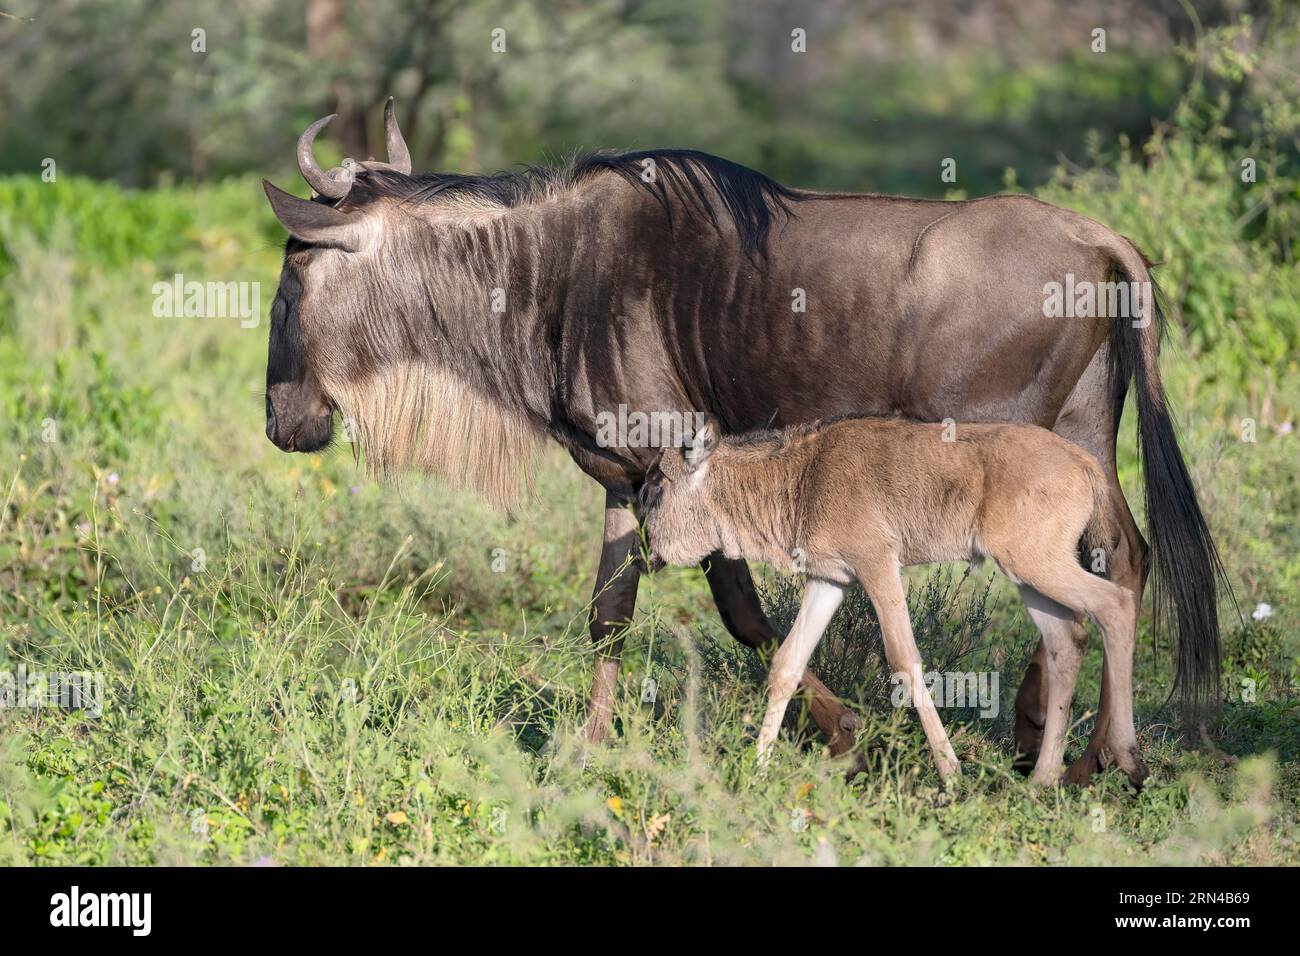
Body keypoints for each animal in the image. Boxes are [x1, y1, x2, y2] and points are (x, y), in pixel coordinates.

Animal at [639, 417, 1148, 787]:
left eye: (657, 485)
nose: (645, 551)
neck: (802, 478)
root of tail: (1086, 463)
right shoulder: (831, 580)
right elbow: (787, 662)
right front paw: (758, 767)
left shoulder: (878, 564)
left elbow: (904, 659)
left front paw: (951, 772)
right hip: (1029, 575)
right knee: (1068, 641)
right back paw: (1042, 779)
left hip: (1036, 563)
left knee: (1116, 605)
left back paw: (1128, 759)